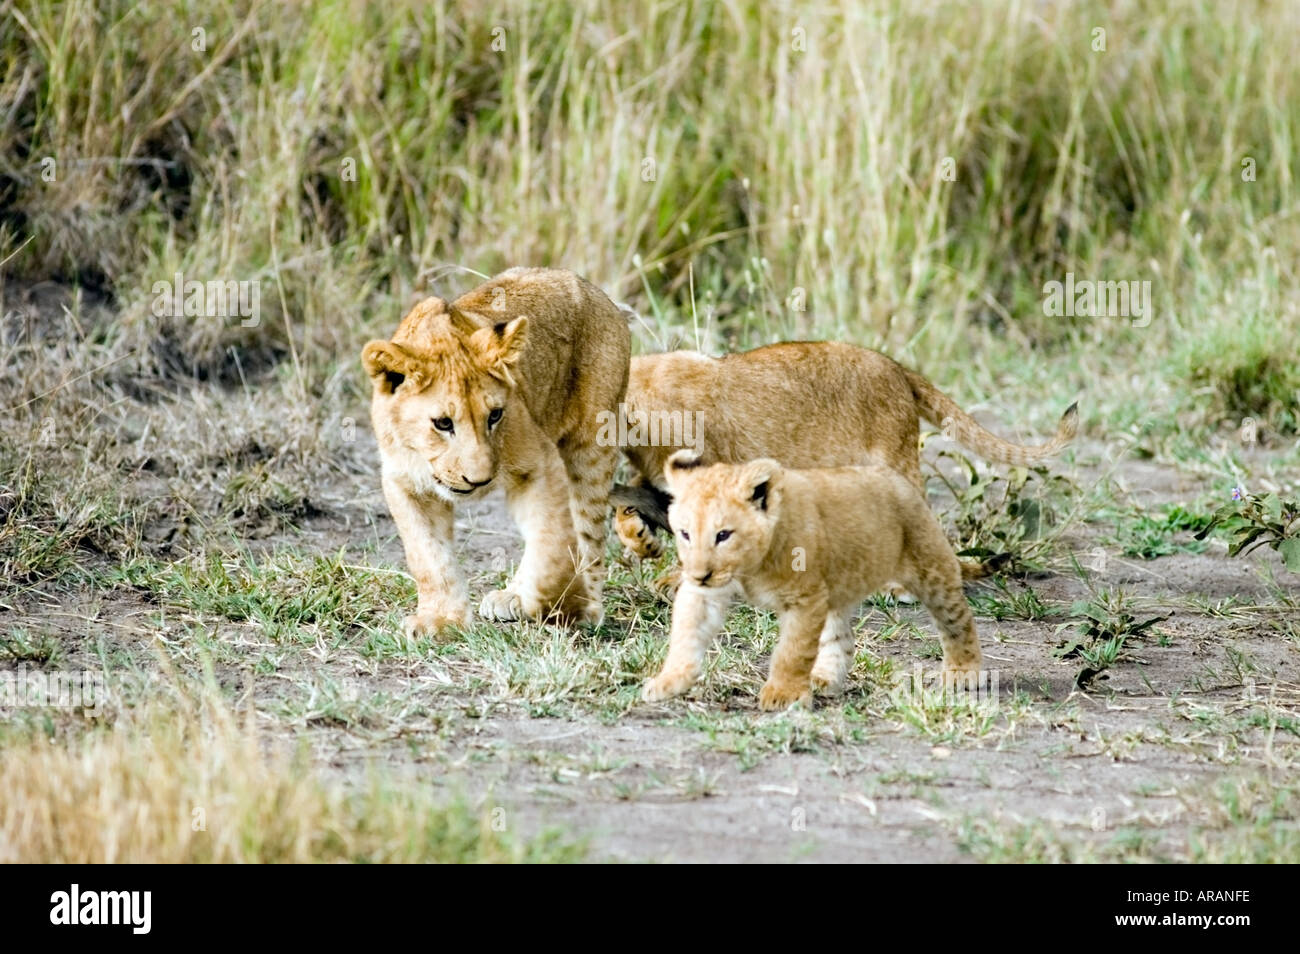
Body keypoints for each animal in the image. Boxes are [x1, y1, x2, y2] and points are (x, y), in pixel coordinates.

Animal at [361, 267, 630, 636]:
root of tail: (592, 290)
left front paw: (551, 602)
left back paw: (581, 606)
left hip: (590, 447)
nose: (479, 481)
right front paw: (442, 619)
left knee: (587, 534)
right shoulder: (403, 482)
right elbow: (428, 556)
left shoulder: (541, 462)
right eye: (442, 423)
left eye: (495, 416)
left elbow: (551, 544)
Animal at [641, 451, 985, 710]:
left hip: (931, 568)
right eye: (685, 534)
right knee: (840, 638)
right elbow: (685, 635)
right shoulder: (705, 593)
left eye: (723, 535)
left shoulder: (804, 599)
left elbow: (792, 651)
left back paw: (963, 672)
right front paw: (668, 681)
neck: (749, 567)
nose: (699, 575)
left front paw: (784, 695)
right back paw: (825, 678)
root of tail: (894, 476)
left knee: (957, 619)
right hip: (836, 587)